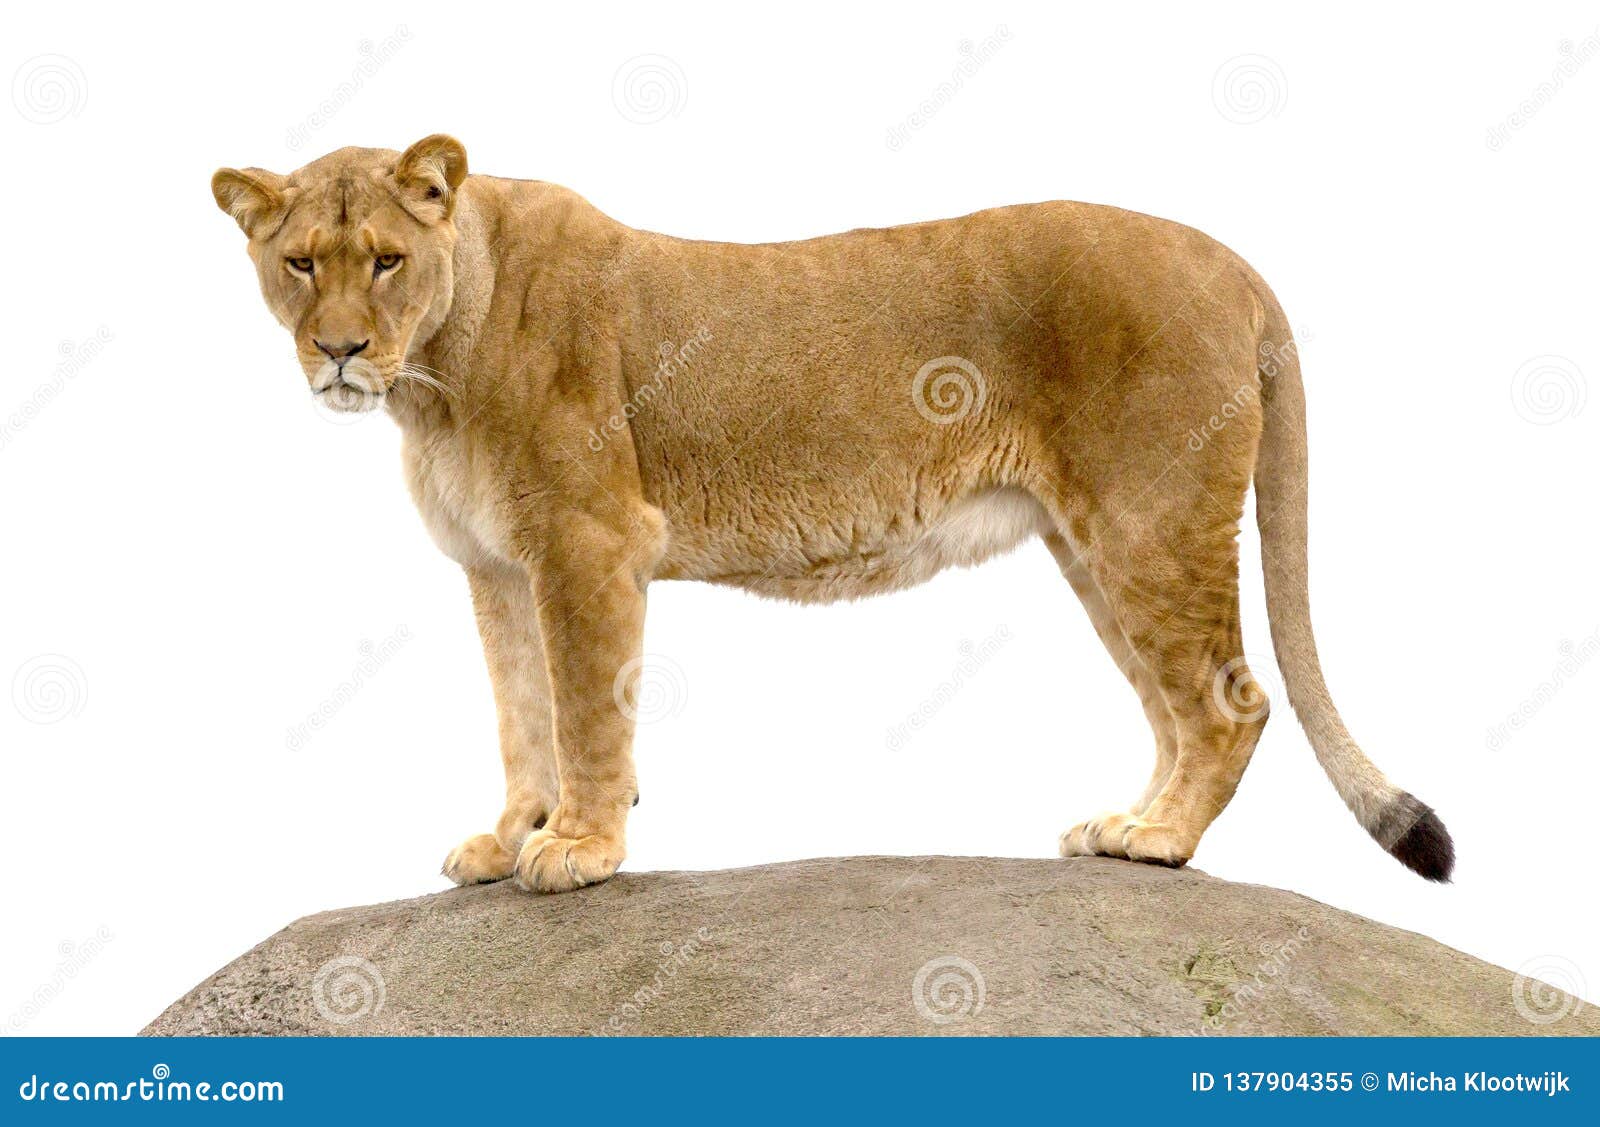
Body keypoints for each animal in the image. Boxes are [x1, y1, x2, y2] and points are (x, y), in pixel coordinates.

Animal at [211, 134, 1453, 892]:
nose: (338, 349)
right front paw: (512, 832)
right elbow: (523, 711)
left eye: (385, 259)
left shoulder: (589, 542)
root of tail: (1229, 255)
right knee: (1173, 706)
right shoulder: (498, 566)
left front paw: (580, 847)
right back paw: (1125, 827)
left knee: (1231, 701)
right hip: (1091, 544)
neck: (432, 378)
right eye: (298, 263)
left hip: (1149, 517)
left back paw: (1157, 840)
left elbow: (584, 711)